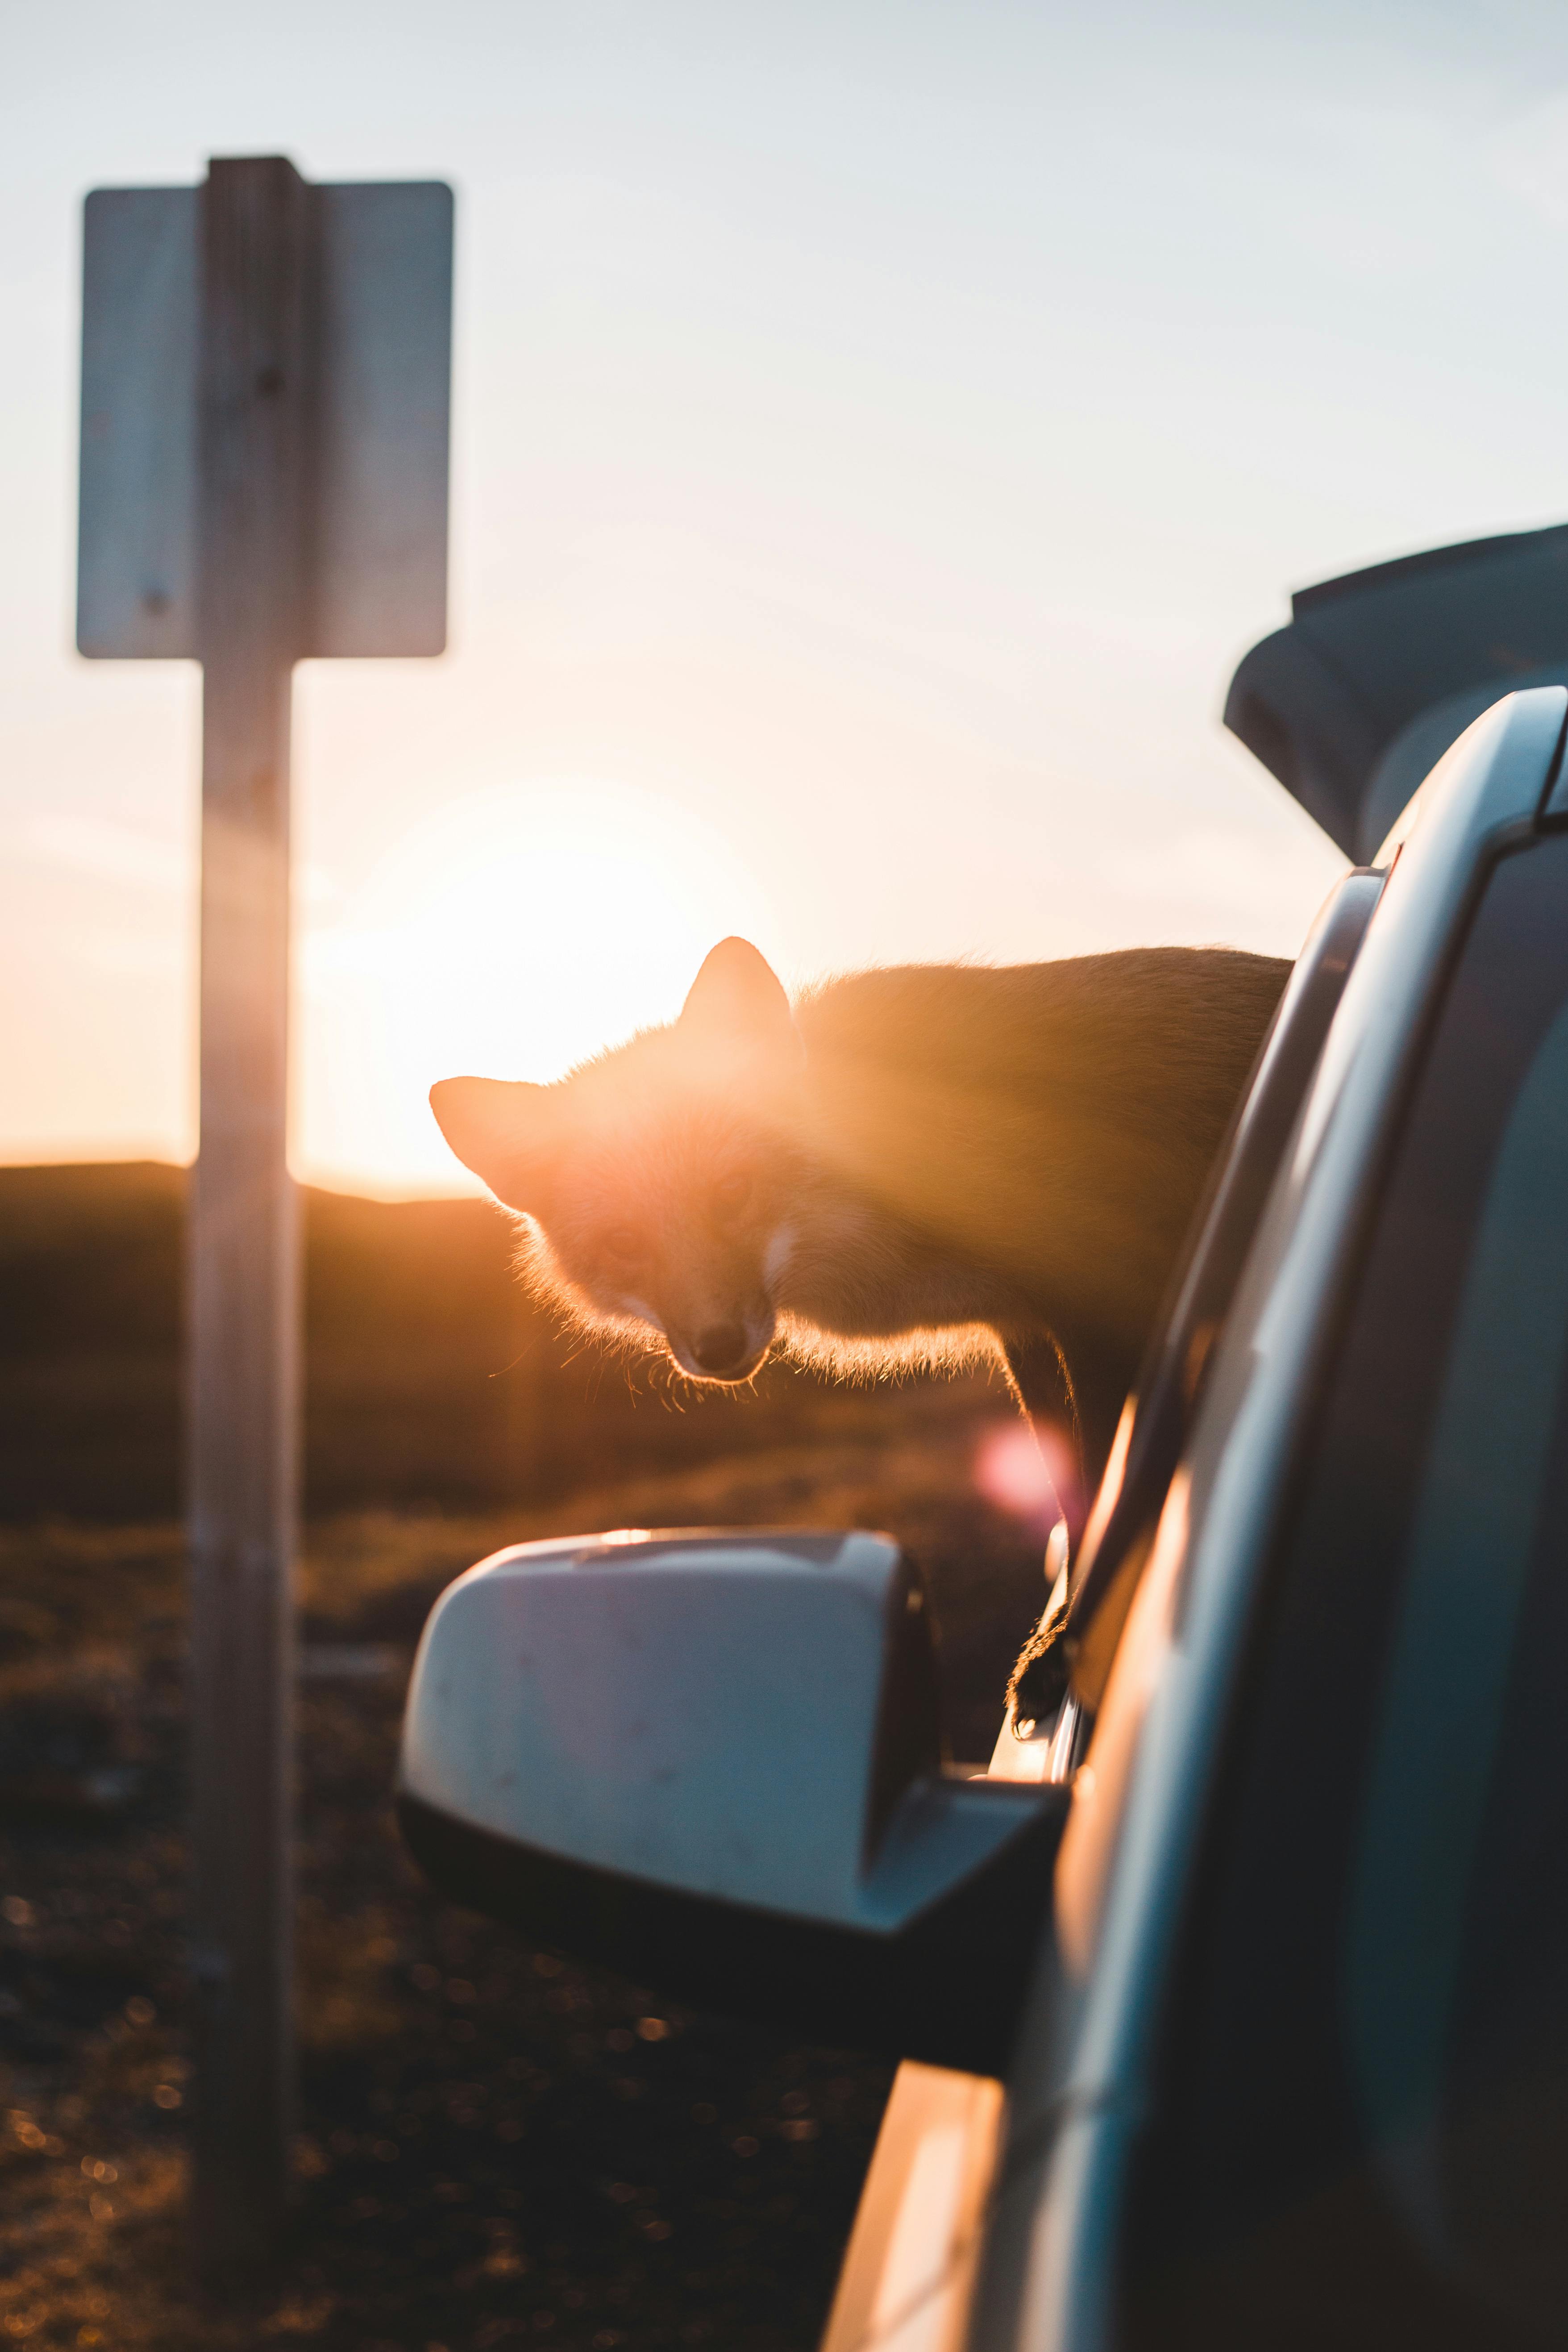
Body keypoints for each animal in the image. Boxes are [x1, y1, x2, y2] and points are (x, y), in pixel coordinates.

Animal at [430, 937, 1288, 1518]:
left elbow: (1102, 1477)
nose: (716, 1347)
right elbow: (1067, 1496)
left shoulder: (1097, 1309)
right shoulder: (1025, 1327)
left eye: (732, 1192)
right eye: (624, 1243)